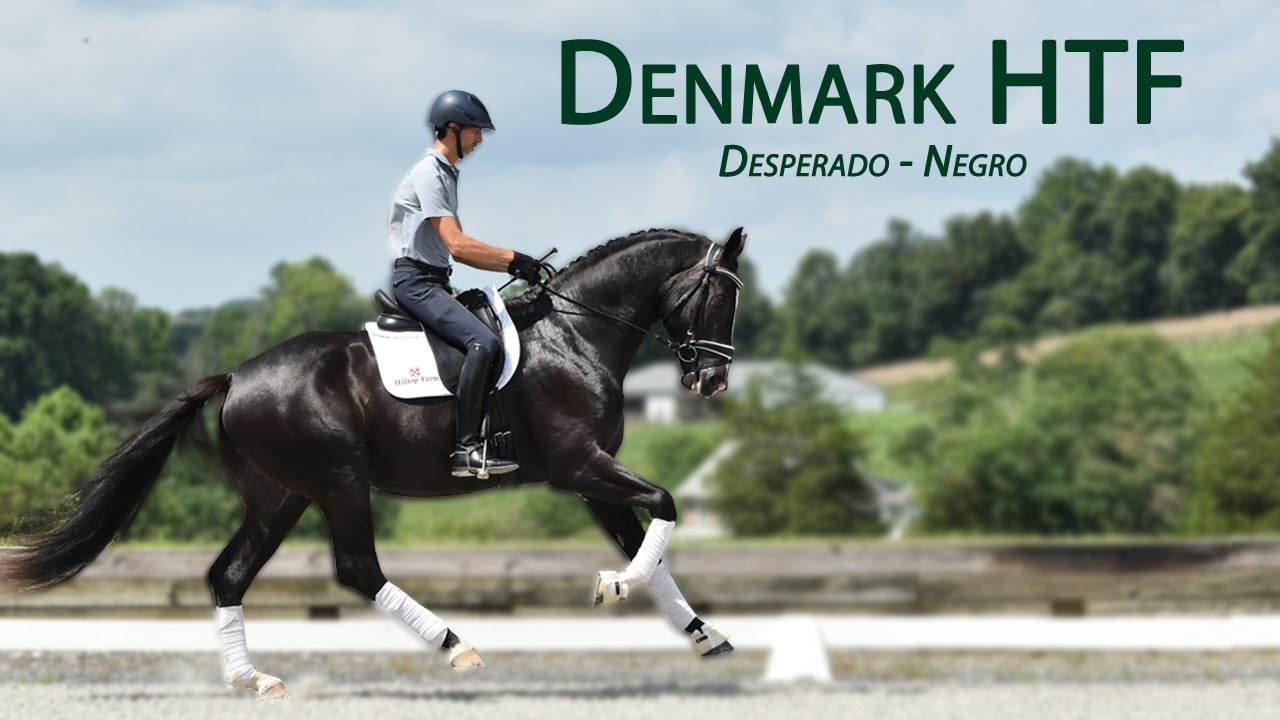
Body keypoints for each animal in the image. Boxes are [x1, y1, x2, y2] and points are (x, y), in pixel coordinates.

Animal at [0, 227, 747, 699]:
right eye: (720, 294)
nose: (712, 382)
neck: (576, 333)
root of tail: (238, 376)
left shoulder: (592, 477)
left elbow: (645, 541)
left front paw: (701, 633)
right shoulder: (578, 466)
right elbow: (664, 508)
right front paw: (613, 587)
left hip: (279, 496)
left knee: (228, 574)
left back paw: (253, 680)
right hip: (339, 479)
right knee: (357, 567)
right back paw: (455, 646)